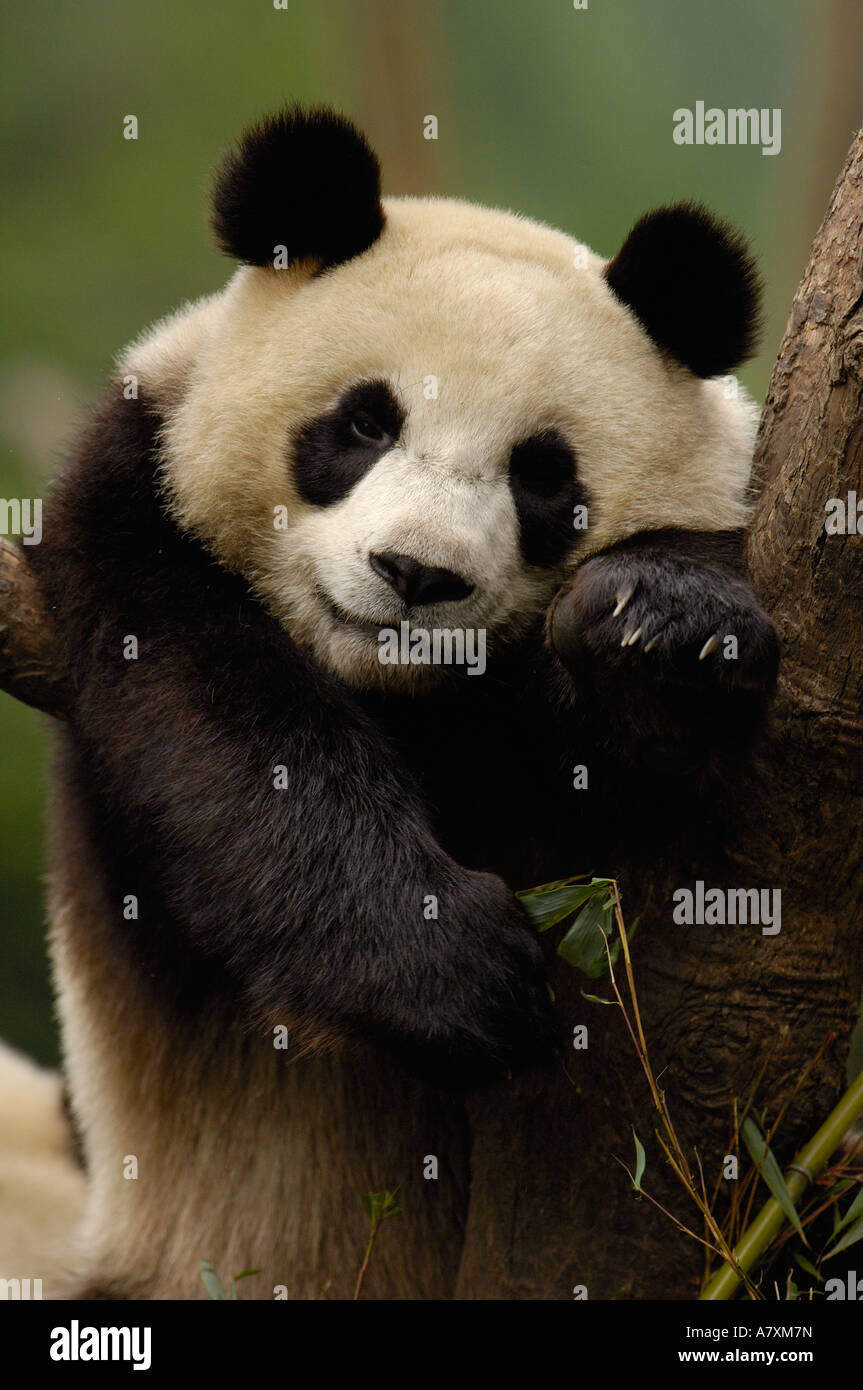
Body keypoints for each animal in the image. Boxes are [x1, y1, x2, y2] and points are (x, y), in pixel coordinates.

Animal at [0, 106, 778, 1300]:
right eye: (363, 423)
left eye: (543, 475)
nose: (416, 574)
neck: (398, 689)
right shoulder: (137, 520)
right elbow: (230, 740)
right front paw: (451, 974)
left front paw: (661, 629)